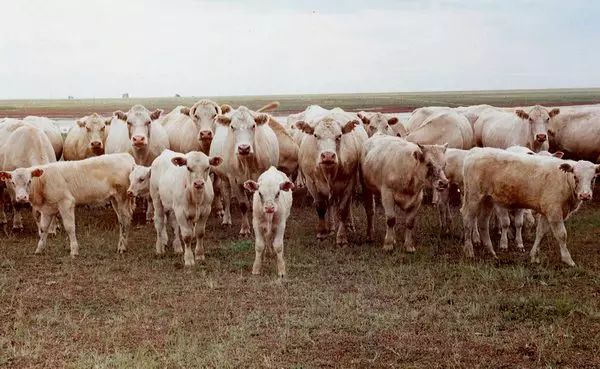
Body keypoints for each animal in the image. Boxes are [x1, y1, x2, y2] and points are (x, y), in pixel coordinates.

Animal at [0, 152, 135, 256]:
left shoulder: (66, 203)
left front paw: (74, 251)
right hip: (115, 199)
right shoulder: (47, 210)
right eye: (13, 182)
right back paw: (122, 245)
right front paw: (39, 249)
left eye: (29, 181)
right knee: (122, 220)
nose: (21, 197)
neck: (44, 182)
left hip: (122, 197)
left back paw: (122, 248)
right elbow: (43, 229)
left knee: (126, 219)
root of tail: (126, 156)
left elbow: (70, 227)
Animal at [460, 147, 596, 264]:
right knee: (468, 221)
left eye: (593, 178)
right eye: (575, 176)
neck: (564, 181)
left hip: (487, 199)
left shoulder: (547, 211)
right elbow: (562, 235)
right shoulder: (554, 211)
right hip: (473, 197)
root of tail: (475, 151)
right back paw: (469, 251)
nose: (585, 195)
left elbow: (540, 232)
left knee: (483, 222)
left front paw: (534, 256)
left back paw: (491, 252)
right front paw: (568, 259)